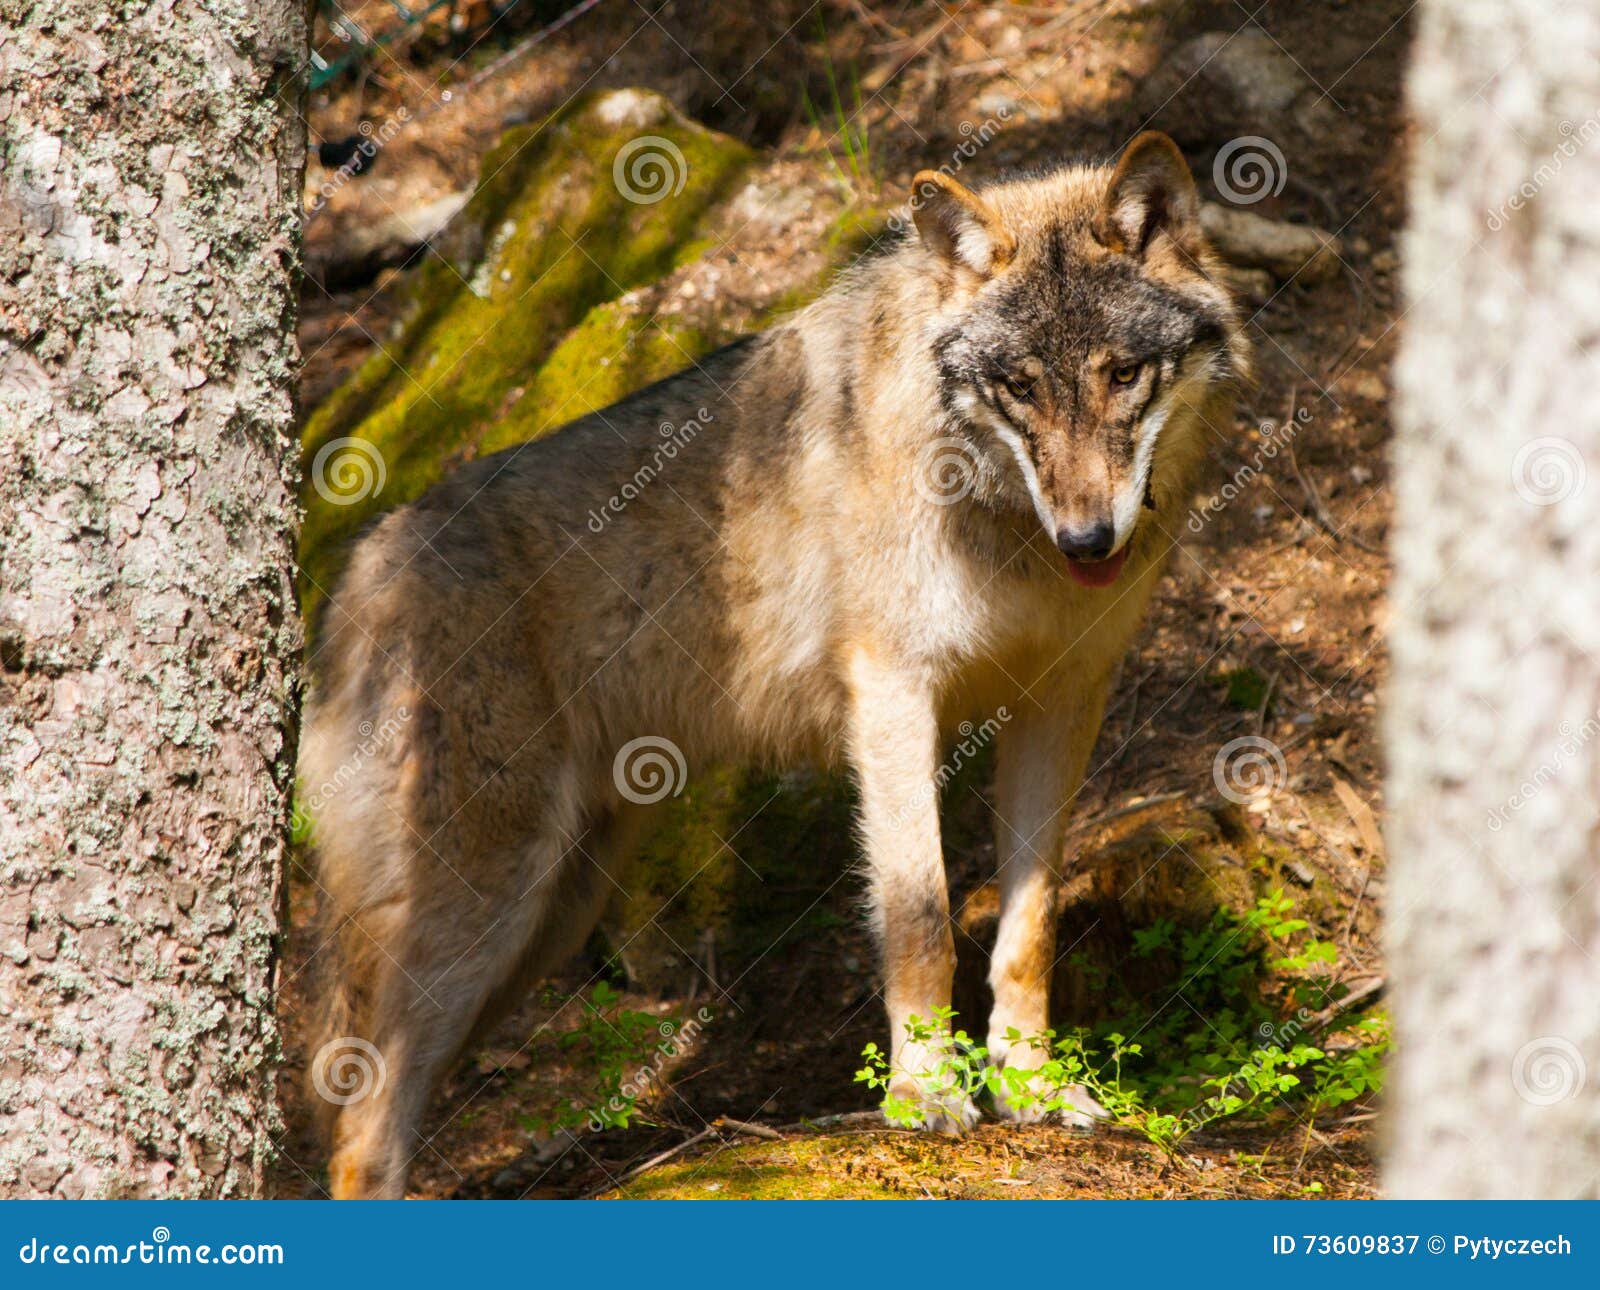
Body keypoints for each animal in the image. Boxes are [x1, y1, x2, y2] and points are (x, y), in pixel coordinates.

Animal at [301, 130, 1247, 1197]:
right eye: (1021, 388)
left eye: (1123, 373)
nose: (1089, 540)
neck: (1009, 530)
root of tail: (356, 571)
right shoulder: (893, 694)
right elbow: (919, 917)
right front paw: (924, 1096)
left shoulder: (1060, 701)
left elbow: (1030, 929)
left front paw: (1034, 1092)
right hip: (483, 906)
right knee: (360, 1121)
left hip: (547, 919)